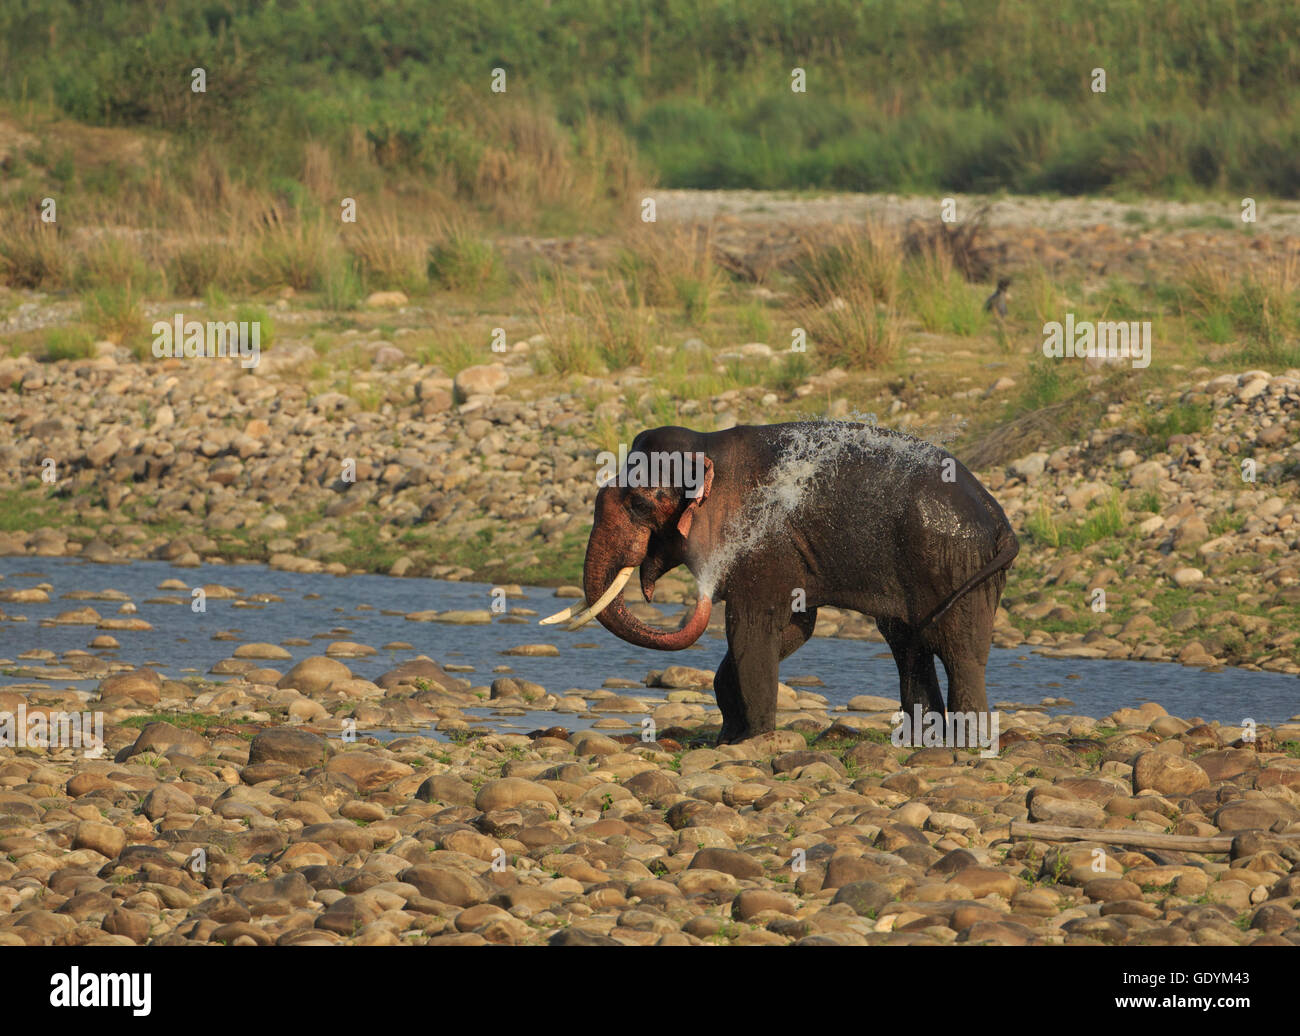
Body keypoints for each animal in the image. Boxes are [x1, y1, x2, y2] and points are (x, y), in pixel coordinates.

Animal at [541, 421, 1019, 744]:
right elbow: (793, 629)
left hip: (955, 564)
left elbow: (754, 629)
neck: (707, 446)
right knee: (908, 645)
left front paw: (752, 741)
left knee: (958, 649)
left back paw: (964, 746)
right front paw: (729, 741)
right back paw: (923, 743)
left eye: (639, 504)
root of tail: (1001, 521)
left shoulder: (762, 542)